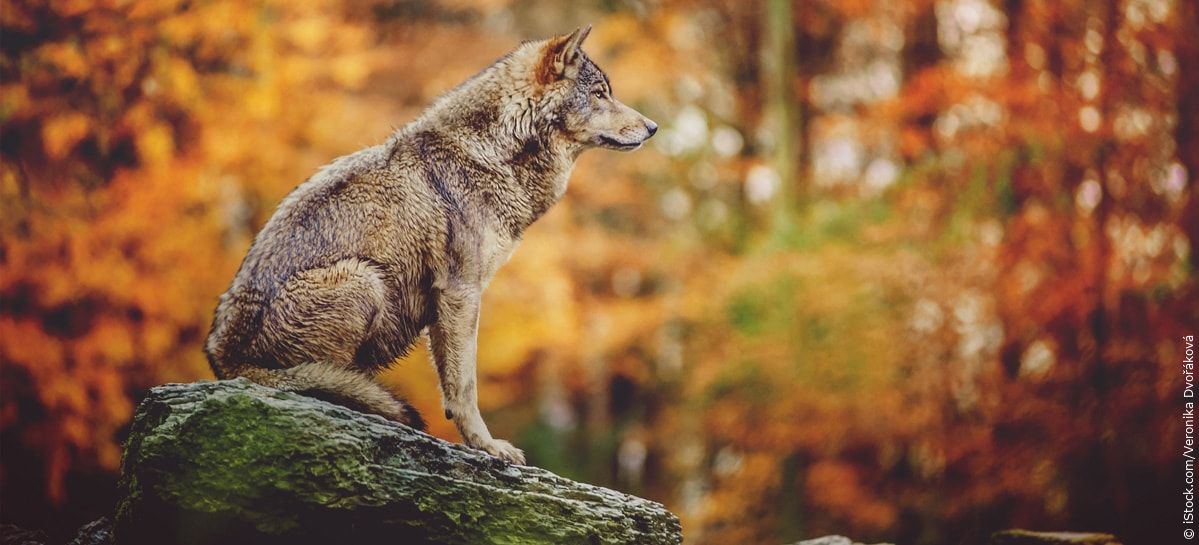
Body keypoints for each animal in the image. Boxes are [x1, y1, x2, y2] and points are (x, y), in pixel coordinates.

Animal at [204, 26, 656, 464]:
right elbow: (465, 386)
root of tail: (224, 358)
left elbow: (453, 385)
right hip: (363, 279)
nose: (653, 128)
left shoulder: (447, 303)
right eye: (599, 94)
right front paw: (488, 447)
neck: (490, 154)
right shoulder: (461, 292)